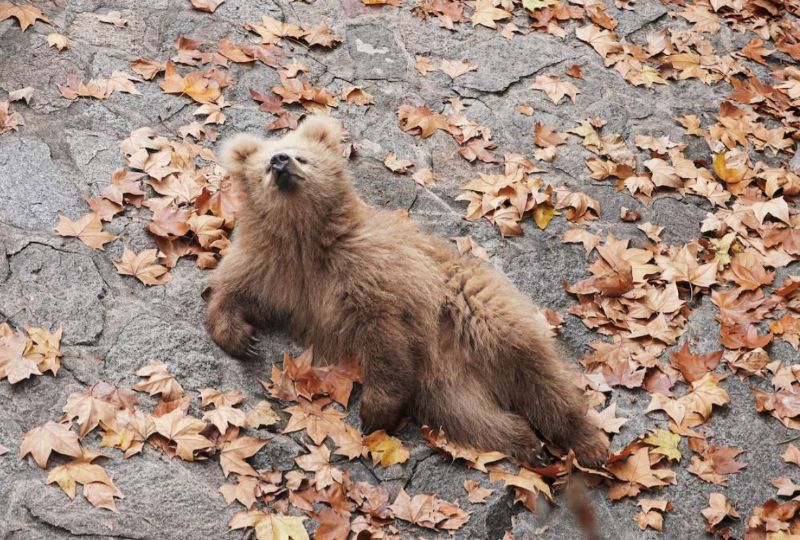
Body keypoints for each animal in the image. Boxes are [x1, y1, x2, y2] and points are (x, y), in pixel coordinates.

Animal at [205, 115, 609, 467]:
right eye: (264, 164)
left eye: (301, 155)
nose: (280, 161)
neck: (305, 240)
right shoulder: (275, 271)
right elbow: (233, 291)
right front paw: (241, 338)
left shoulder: (370, 271)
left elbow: (384, 334)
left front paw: (374, 411)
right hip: (444, 388)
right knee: (472, 418)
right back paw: (527, 444)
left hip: (482, 315)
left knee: (540, 378)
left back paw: (589, 445)